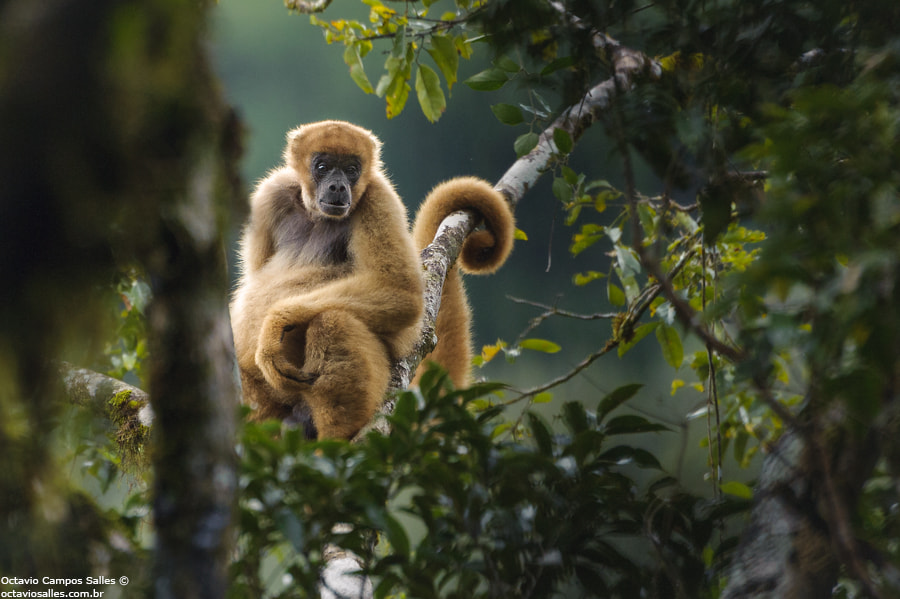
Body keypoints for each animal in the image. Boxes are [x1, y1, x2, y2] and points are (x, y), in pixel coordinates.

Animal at [230, 120, 515, 439]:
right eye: (322, 166)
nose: (338, 185)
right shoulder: (271, 195)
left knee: (332, 321)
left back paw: (337, 439)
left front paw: (277, 322)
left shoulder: (378, 197)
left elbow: (400, 293)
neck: (317, 216)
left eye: (352, 169)